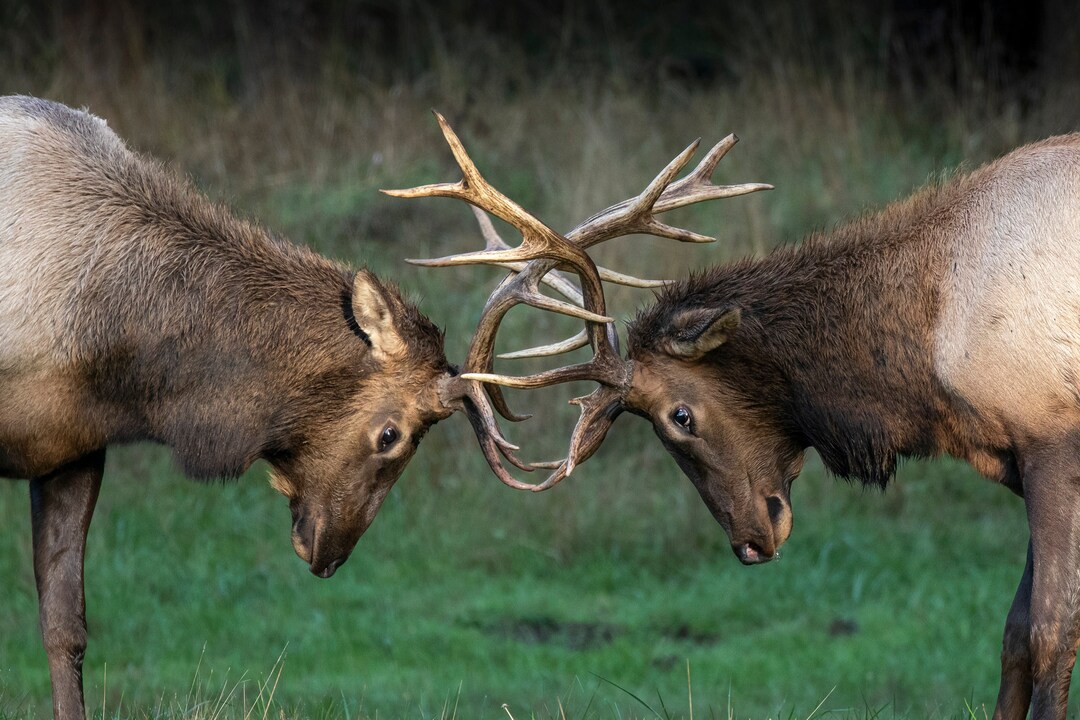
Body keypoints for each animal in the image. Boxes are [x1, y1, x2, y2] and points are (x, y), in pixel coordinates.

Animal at [397, 120, 1080, 719]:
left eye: (680, 415)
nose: (750, 542)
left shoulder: (1051, 442)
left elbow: (1050, 630)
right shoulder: (1023, 456)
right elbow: (1014, 634)